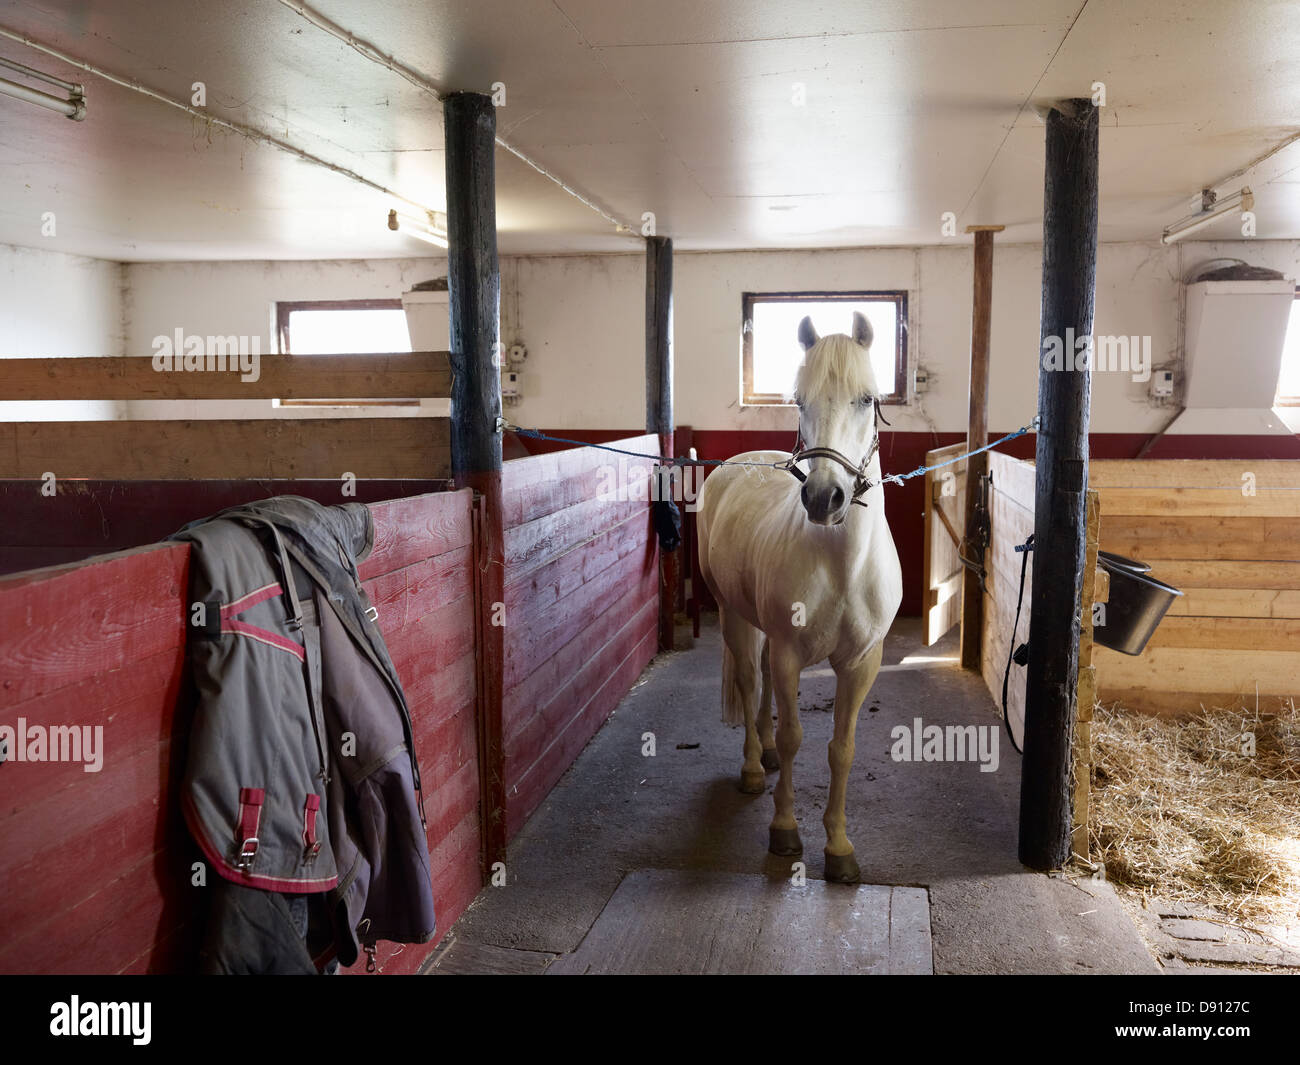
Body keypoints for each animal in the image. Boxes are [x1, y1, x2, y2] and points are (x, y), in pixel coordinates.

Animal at [696, 312, 903, 884]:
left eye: (866, 398)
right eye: (799, 400)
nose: (823, 498)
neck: (842, 564)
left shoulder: (862, 662)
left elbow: (842, 749)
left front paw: (838, 846)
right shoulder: (791, 654)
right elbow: (793, 738)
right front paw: (785, 829)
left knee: (763, 684)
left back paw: (763, 753)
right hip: (733, 616)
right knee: (750, 681)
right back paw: (752, 765)